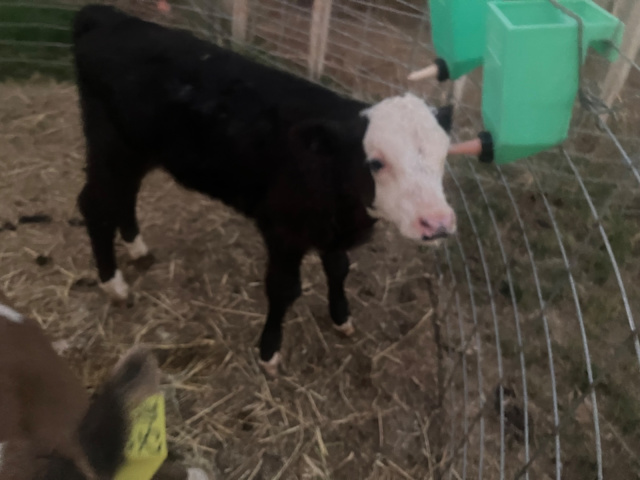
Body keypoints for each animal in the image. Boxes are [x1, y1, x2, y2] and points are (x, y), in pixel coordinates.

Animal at [71, 4, 456, 376]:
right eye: (376, 162)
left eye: (444, 153)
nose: (437, 222)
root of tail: (106, 15)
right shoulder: (283, 231)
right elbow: (284, 289)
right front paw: (269, 351)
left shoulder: (330, 233)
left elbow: (339, 269)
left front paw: (341, 317)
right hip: (110, 147)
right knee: (94, 205)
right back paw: (114, 284)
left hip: (137, 154)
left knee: (125, 196)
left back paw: (137, 247)